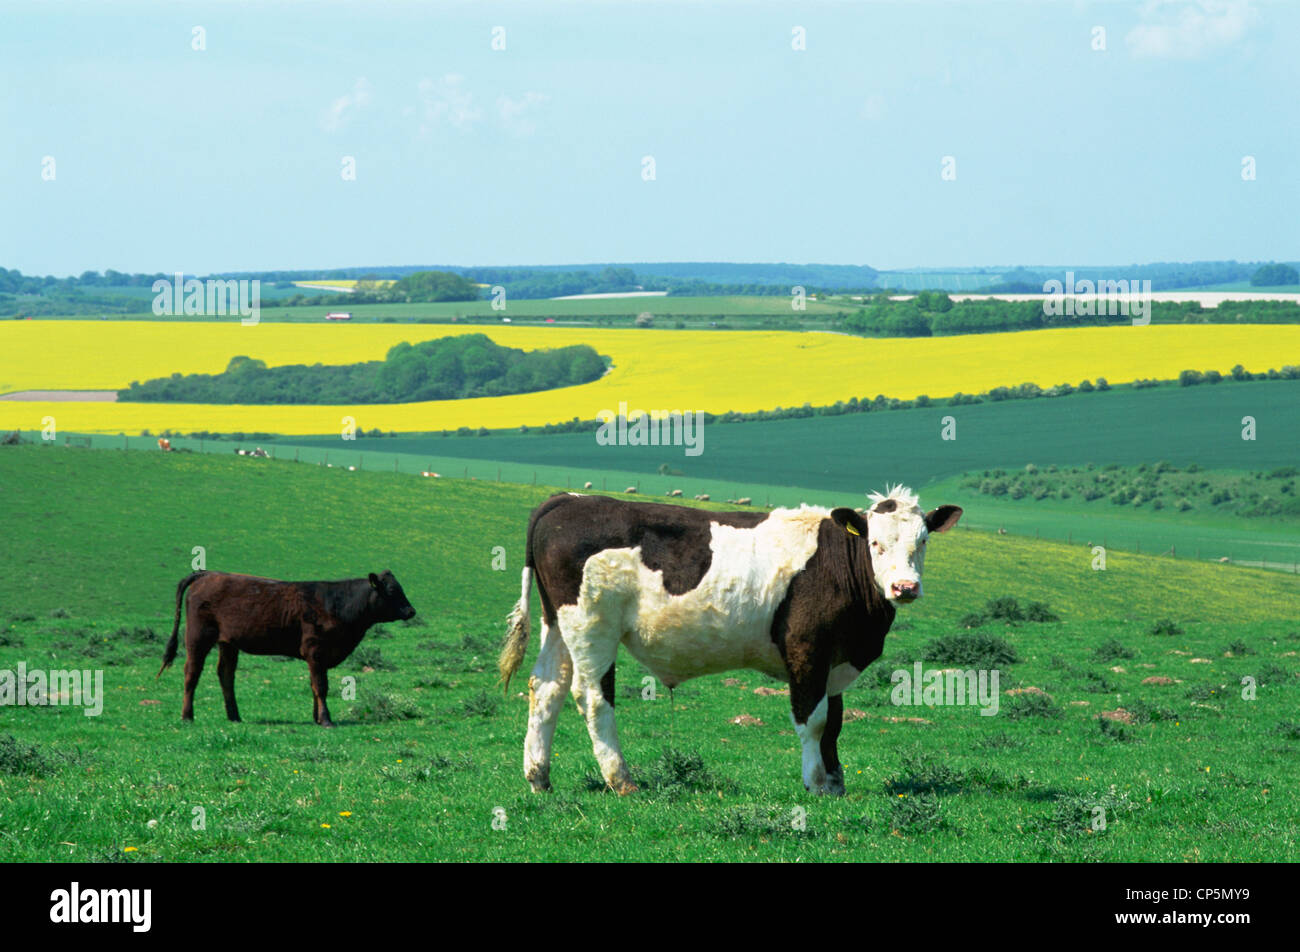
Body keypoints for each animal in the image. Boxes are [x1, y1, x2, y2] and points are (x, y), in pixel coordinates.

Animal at [158, 570, 416, 726]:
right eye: (392, 591)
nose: (411, 611)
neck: (337, 603)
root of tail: (208, 574)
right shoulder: (315, 650)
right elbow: (321, 686)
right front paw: (326, 720)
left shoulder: (319, 656)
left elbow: (314, 686)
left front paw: (316, 717)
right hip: (198, 637)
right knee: (192, 673)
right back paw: (187, 716)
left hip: (228, 642)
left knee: (225, 674)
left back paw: (234, 717)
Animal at [499, 486, 962, 796]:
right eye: (875, 543)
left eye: (922, 541)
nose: (905, 587)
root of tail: (568, 499)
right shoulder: (807, 649)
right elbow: (812, 720)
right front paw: (815, 783)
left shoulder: (834, 659)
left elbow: (834, 721)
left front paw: (835, 781)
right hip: (593, 625)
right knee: (591, 696)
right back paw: (622, 780)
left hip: (559, 624)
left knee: (547, 688)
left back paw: (539, 777)